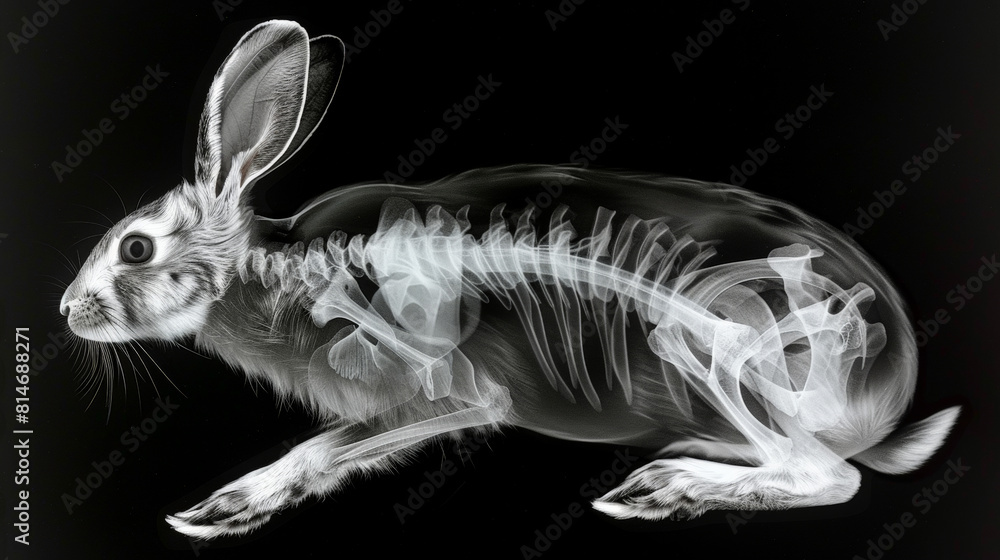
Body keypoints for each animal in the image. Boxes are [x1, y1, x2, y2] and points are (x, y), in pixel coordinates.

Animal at [59, 19, 961, 540]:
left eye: (134, 249)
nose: (68, 310)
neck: (271, 272)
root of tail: (884, 390)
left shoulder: (442, 389)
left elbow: (330, 446)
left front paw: (223, 508)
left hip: (715, 346)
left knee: (829, 474)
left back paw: (661, 489)